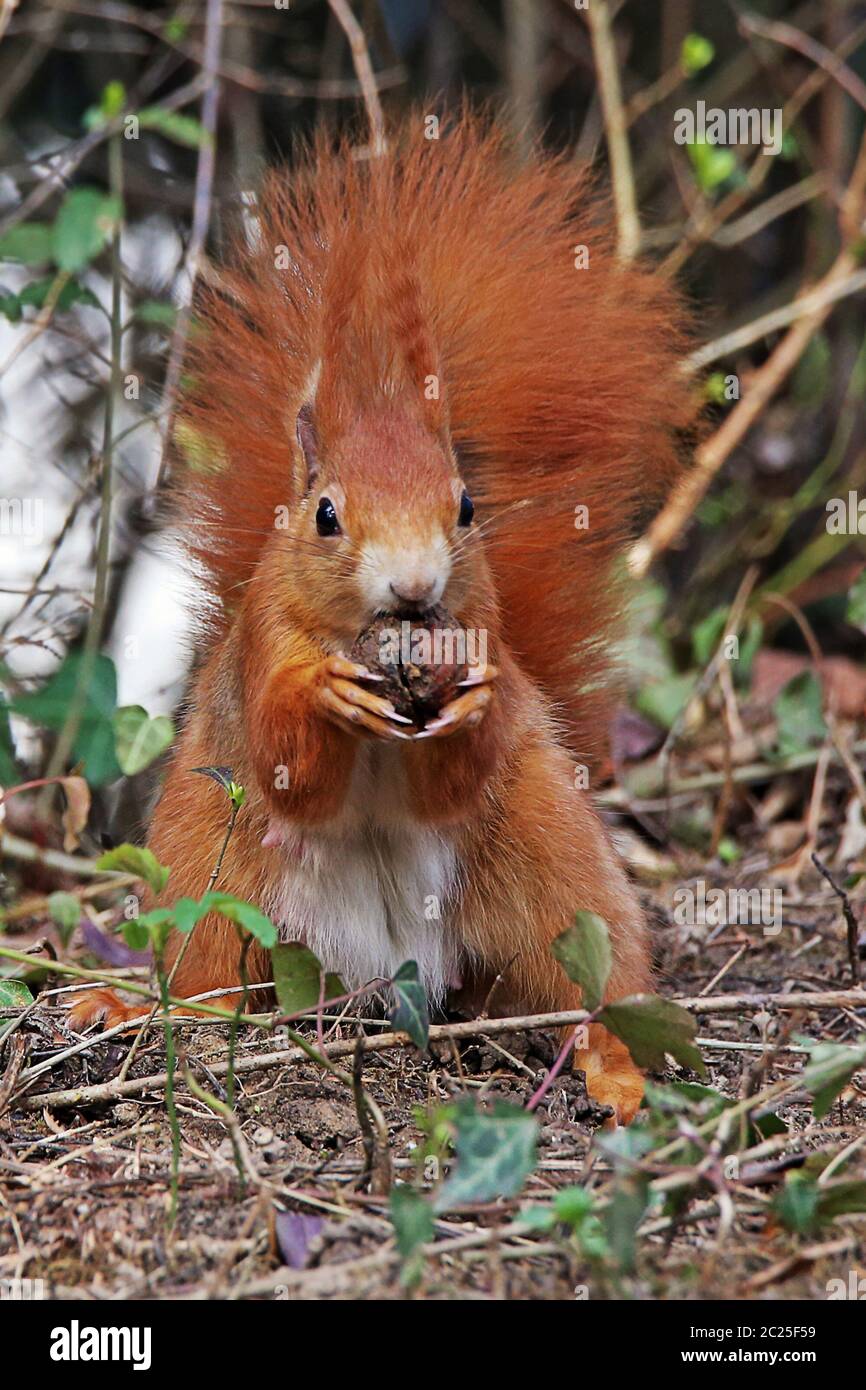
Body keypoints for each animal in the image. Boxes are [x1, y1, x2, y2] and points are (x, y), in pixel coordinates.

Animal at [70, 113, 695, 1124]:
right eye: (326, 514)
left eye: (466, 507)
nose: (413, 588)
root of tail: (387, 969)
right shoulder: (261, 646)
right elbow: (288, 762)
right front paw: (325, 694)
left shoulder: (488, 634)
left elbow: (454, 768)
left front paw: (470, 698)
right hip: (213, 875)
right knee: (203, 985)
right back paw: (127, 1006)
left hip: (550, 857)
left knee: (591, 983)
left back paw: (615, 1066)